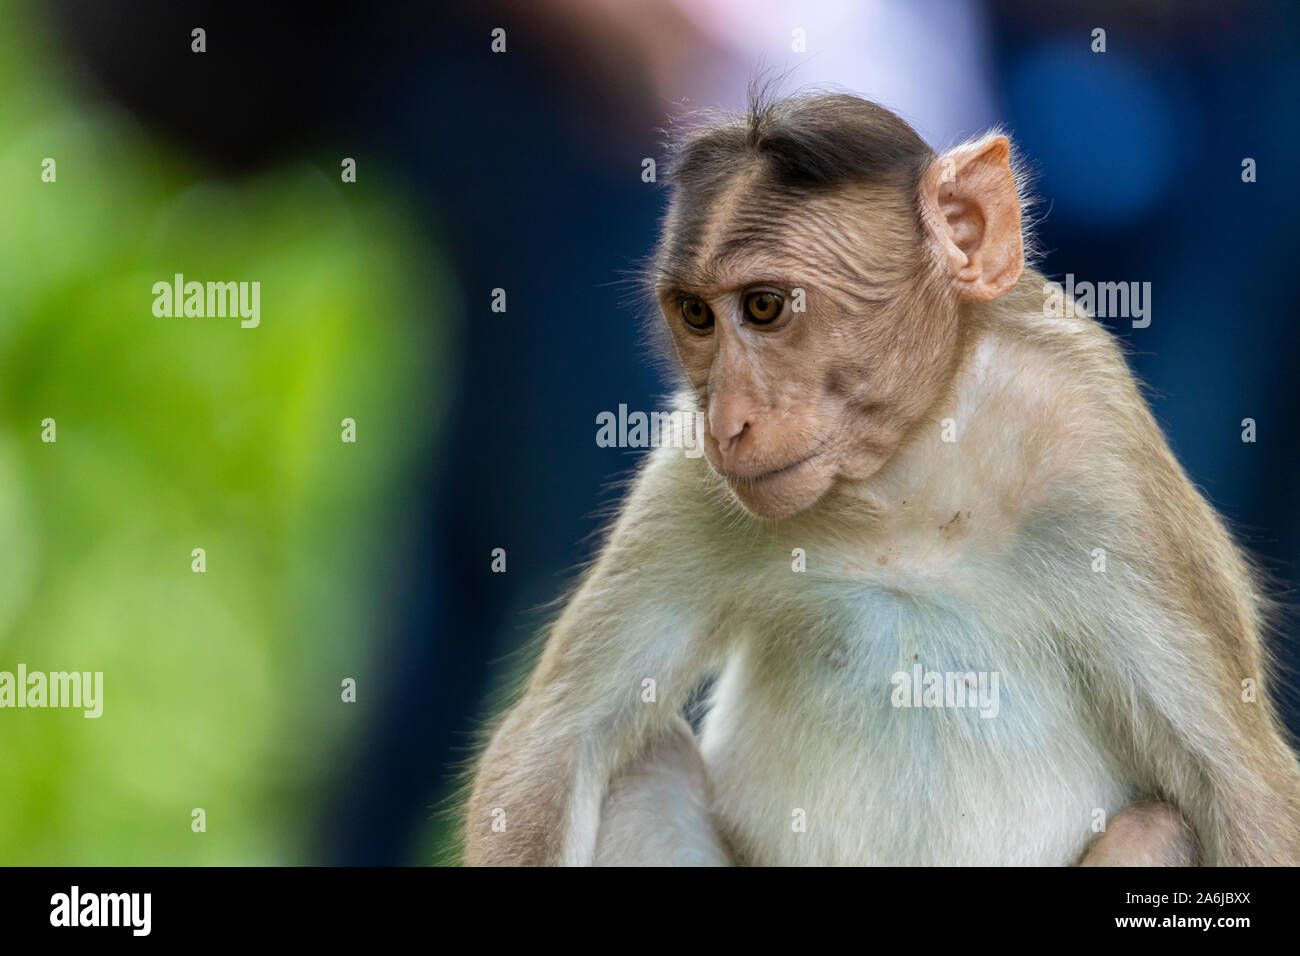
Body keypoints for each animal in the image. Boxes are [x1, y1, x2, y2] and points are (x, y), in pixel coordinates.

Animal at [463, 90, 1300, 866]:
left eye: (764, 307)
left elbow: (1244, 795)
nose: (726, 421)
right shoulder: (687, 477)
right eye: (697, 316)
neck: (907, 475)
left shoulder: (1101, 459)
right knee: (642, 760)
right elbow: (552, 750)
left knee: (1160, 825)